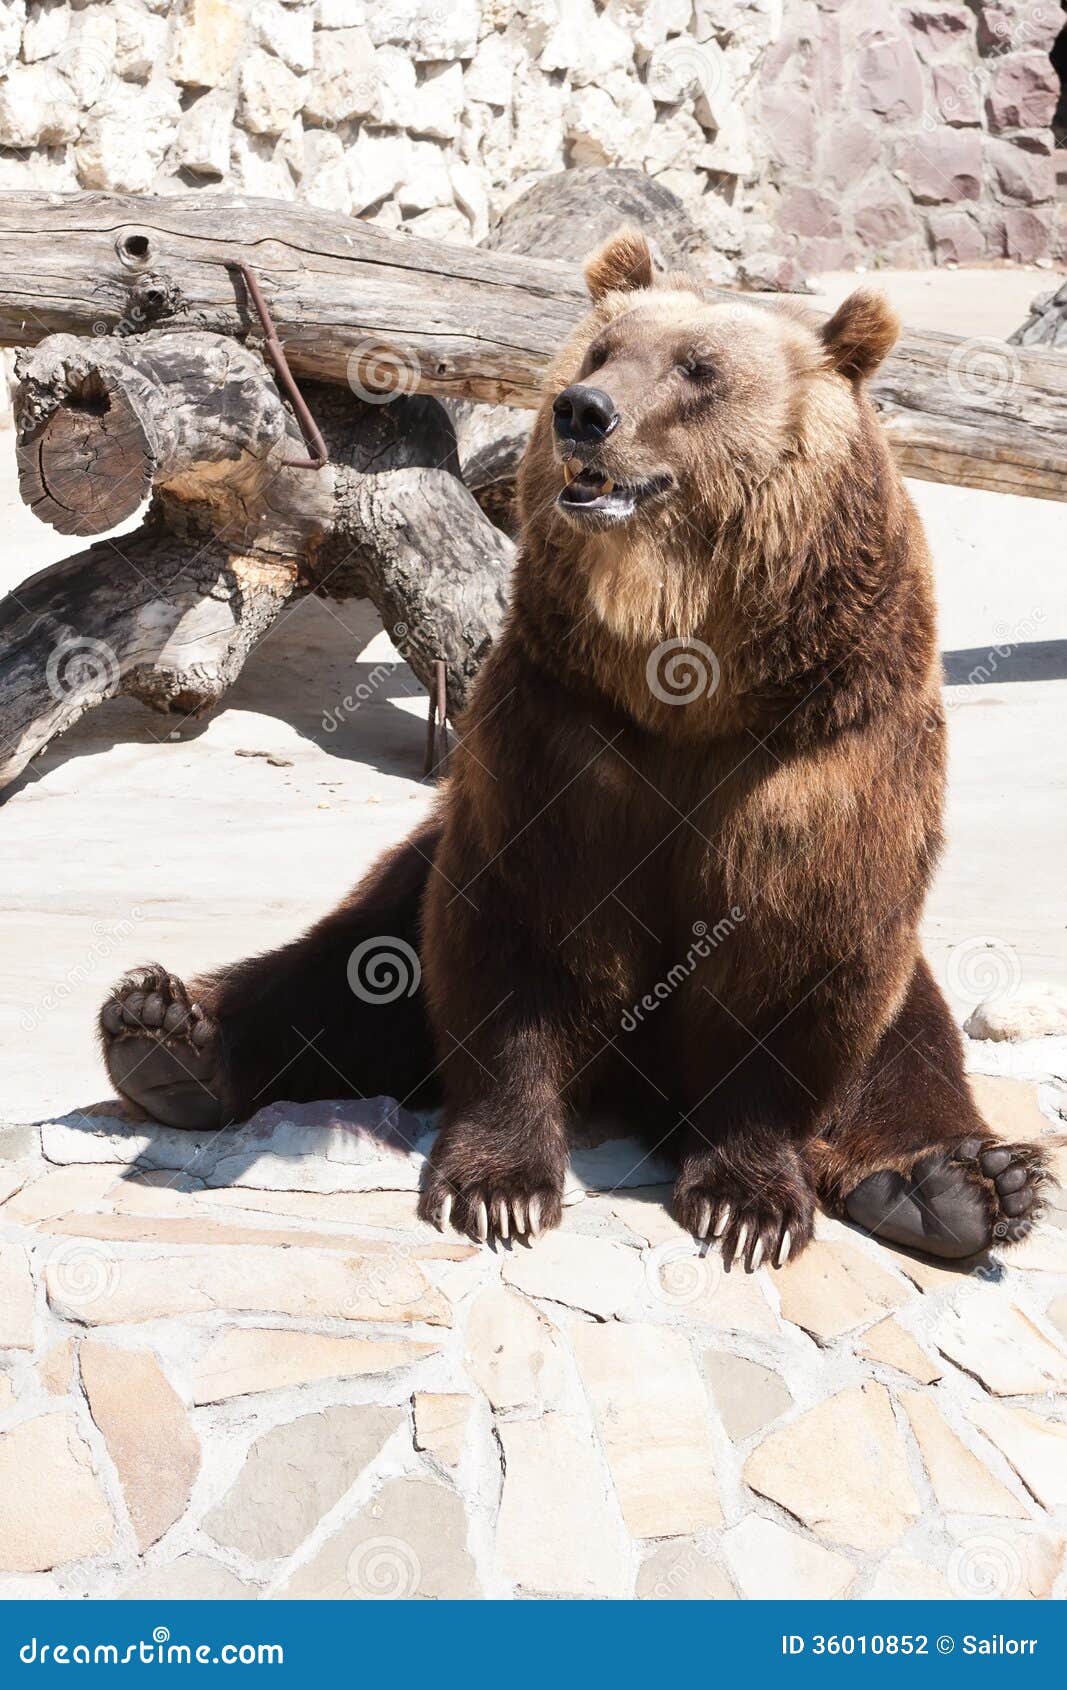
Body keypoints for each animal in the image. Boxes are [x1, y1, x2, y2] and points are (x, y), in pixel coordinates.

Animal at [98, 228, 1049, 1268]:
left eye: (698, 369)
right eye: (600, 350)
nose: (582, 411)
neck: (689, 676)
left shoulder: (819, 756)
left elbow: (790, 964)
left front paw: (745, 1205)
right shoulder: (564, 734)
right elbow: (519, 936)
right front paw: (499, 1188)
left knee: (910, 1043)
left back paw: (952, 1183)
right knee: (342, 964)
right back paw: (164, 1035)